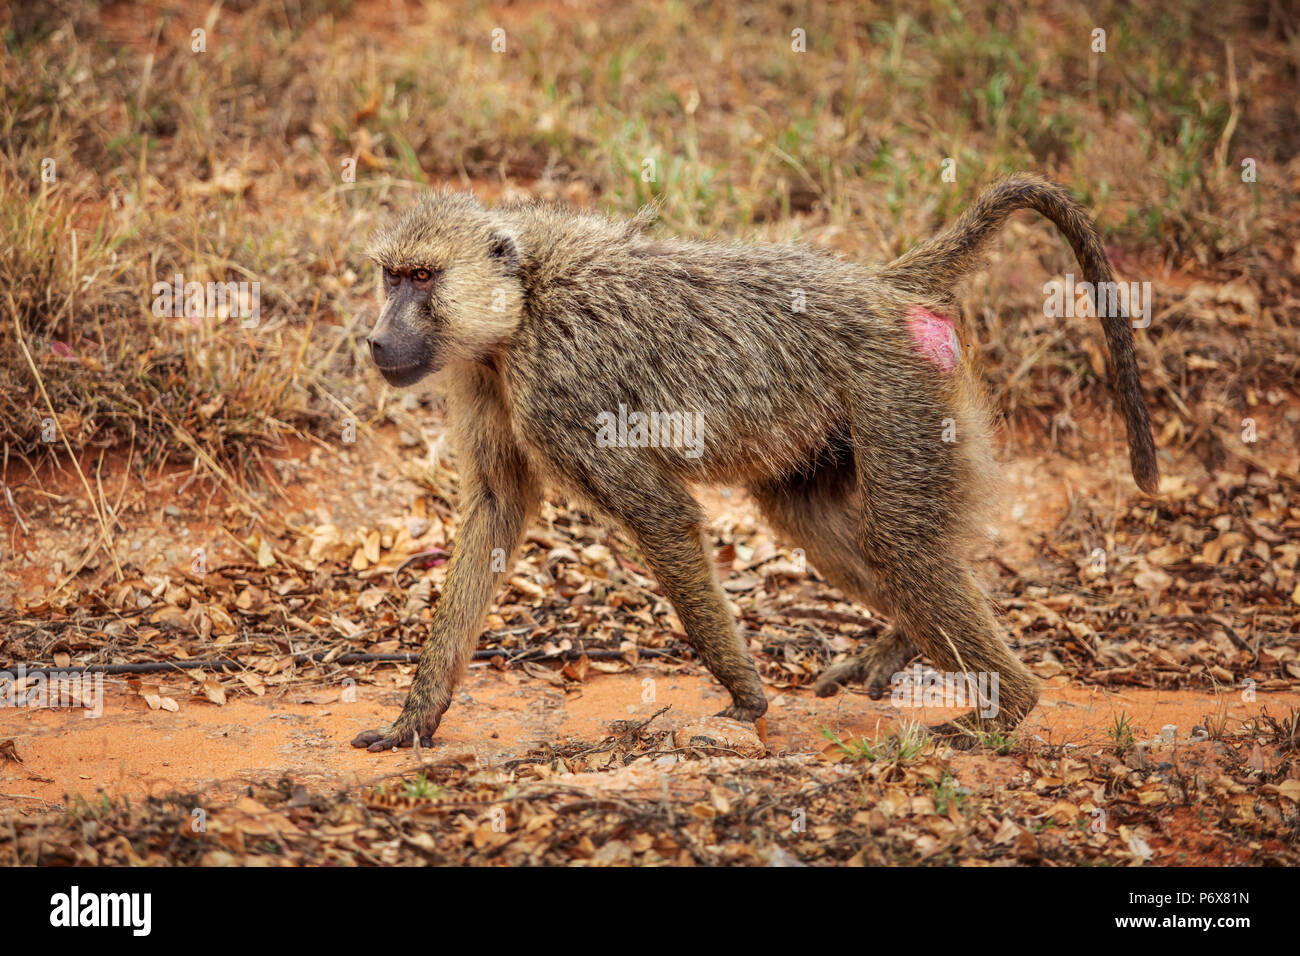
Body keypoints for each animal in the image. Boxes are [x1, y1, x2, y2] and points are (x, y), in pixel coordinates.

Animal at [350, 175, 1158, 753]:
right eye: (393, 277)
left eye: (423, 279)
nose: (377, 342)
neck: (520, 305)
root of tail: (884, 283)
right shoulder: (483, 376)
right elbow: (495, 510)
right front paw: (416, 719)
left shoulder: (560, 386)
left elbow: (662, 514)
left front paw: (745, 697)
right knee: (830, 528)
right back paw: (905, 646)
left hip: (899, 390)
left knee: (905, 547)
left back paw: (1005, 709)